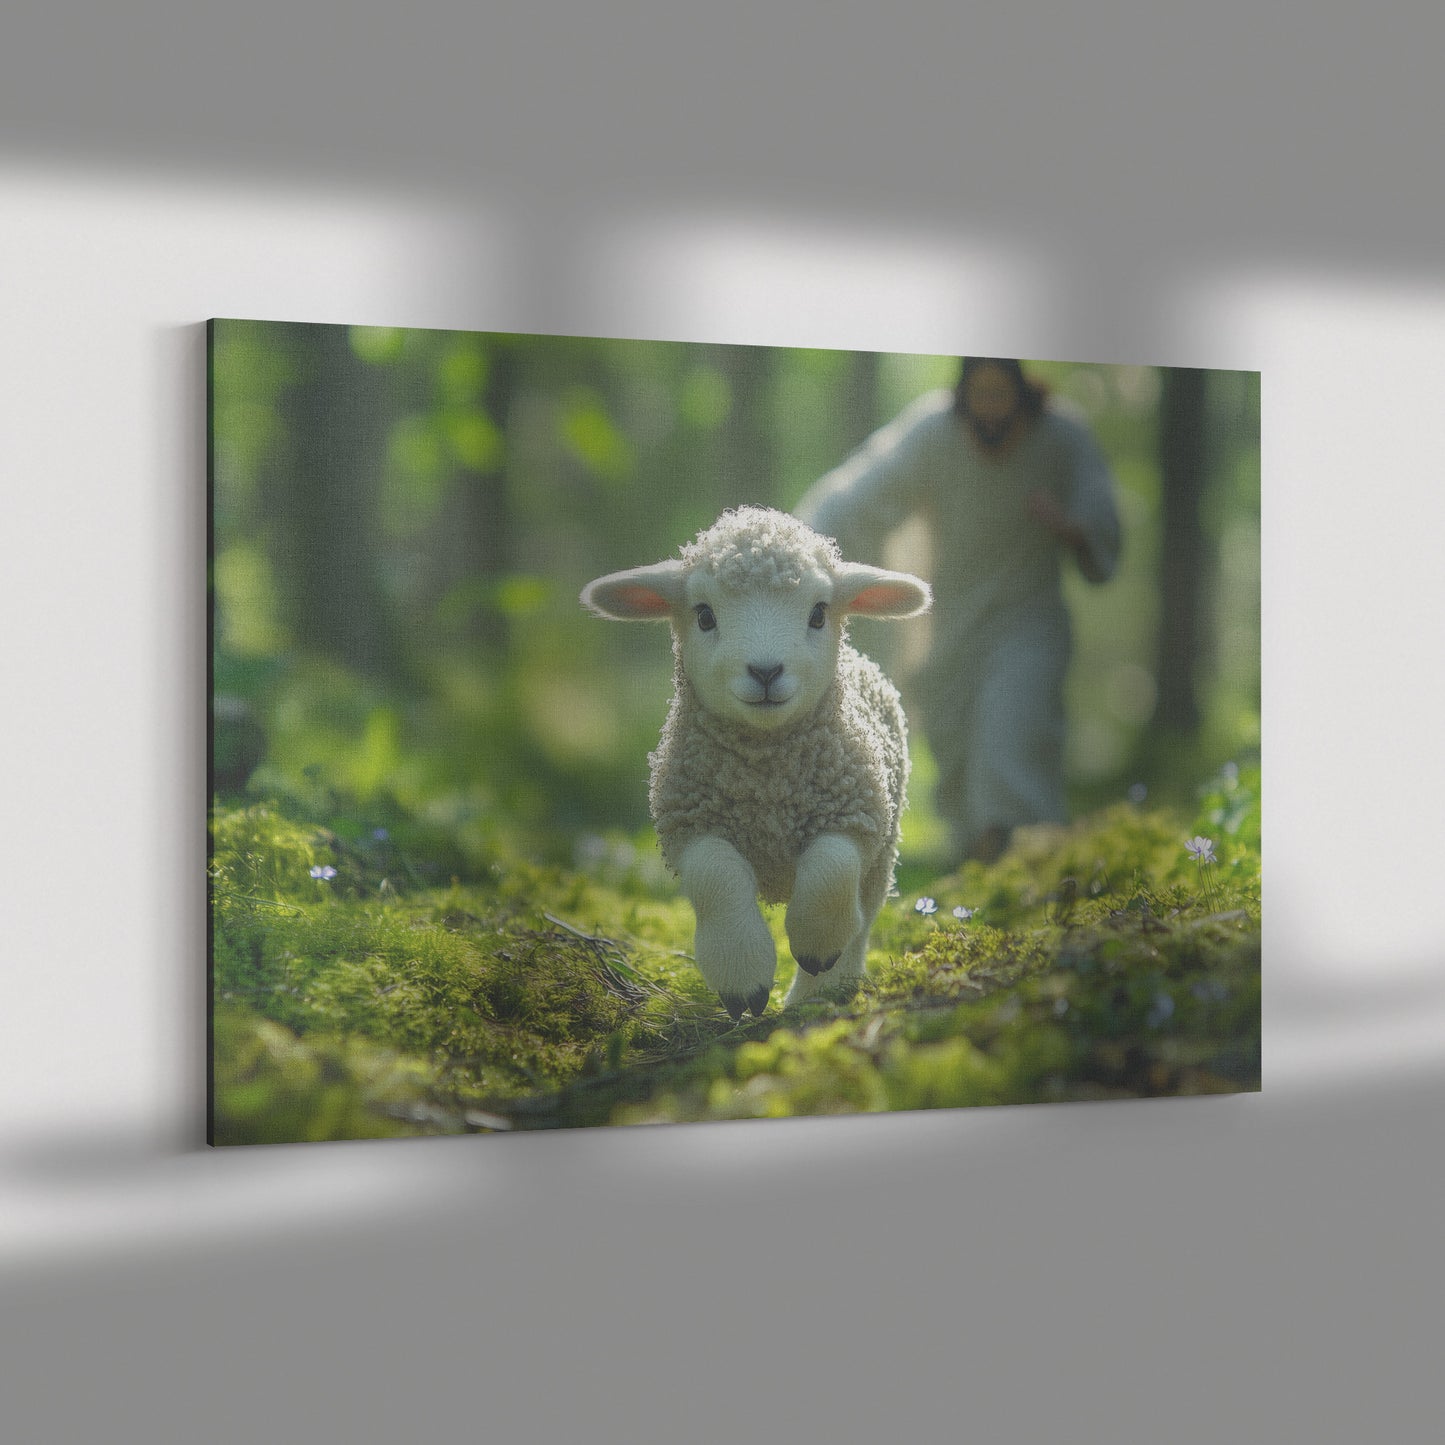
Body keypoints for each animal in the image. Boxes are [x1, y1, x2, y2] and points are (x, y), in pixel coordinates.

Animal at [581, 506, 931, 1019]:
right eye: (704, 615)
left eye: (818, 612)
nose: (766, 671)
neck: (767, 784)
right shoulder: (691, 823)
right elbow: (717, 879)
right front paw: (742, 979)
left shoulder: (856, 812)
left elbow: (830, 871)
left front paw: (815, 945)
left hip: (885, 846)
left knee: (862, 919)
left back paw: (821, 994)